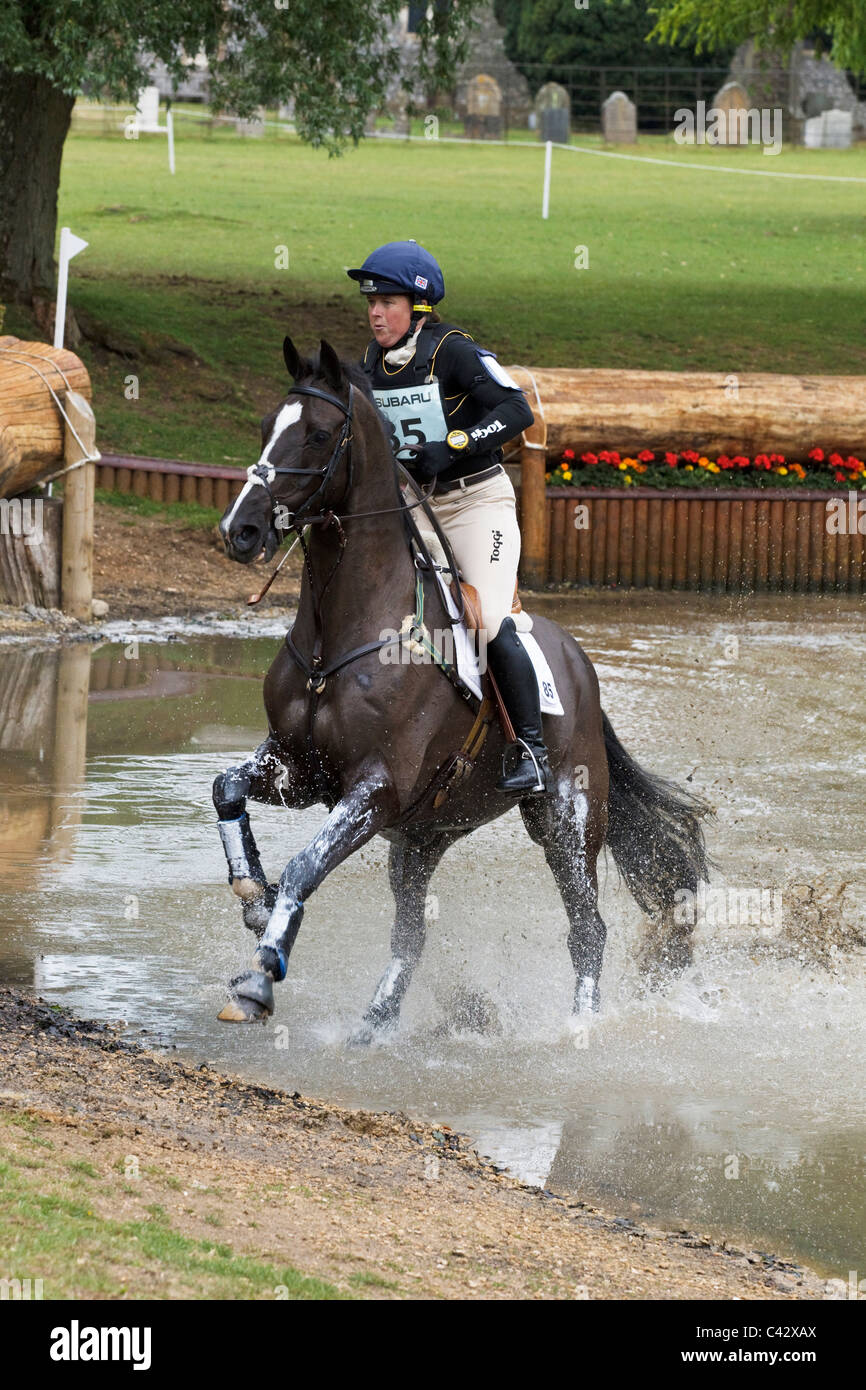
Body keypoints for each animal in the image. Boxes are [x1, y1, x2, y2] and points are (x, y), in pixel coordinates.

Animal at [213, 337, 710, 1035]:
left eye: (316, 435)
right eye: (265, 427)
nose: (242, 531)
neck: (339, 632)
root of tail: (577, 661)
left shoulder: (376, 788)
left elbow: (304, 866)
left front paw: (258, 980)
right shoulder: (299, 767)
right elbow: (226, 788)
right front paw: (253, 896)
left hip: (564, 818)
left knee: (587, 929)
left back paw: (579, 1030)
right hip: (423, 836)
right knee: (411, 935)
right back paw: (372, 1028)